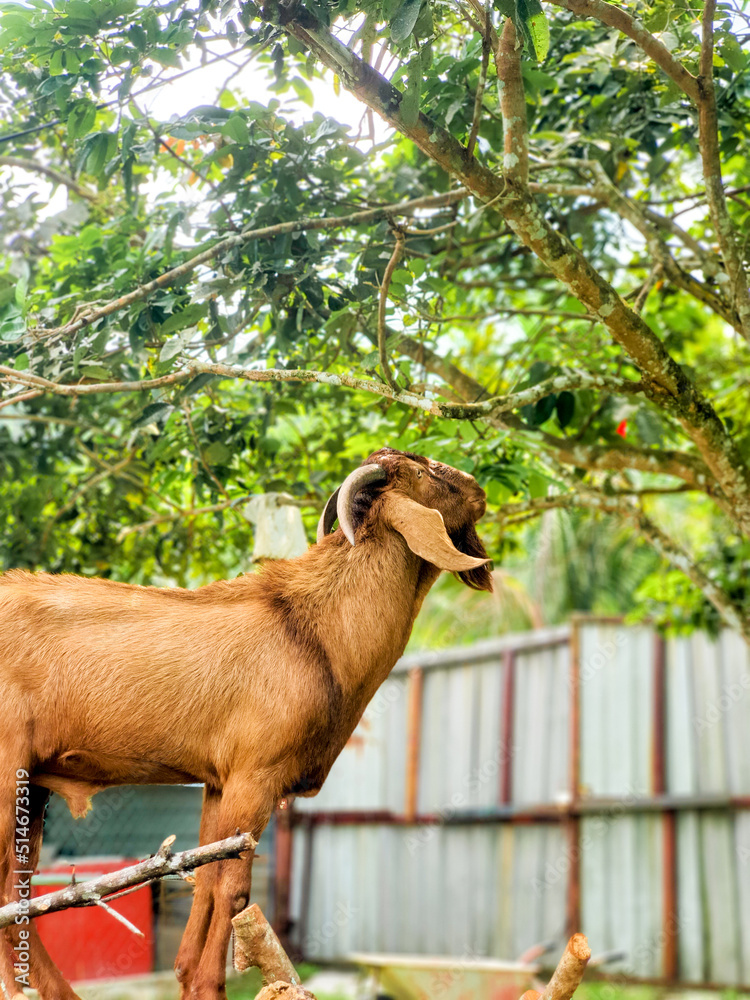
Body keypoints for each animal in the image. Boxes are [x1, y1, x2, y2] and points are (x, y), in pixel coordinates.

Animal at [0, 447, 492, 1000]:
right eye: (430, 472)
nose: (480, 491)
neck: (314, 629)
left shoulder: (220, 782)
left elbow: (206, 881)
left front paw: (188, 977)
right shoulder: (256, 776)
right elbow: (234, 888)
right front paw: (211, 986)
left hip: (32, 786)